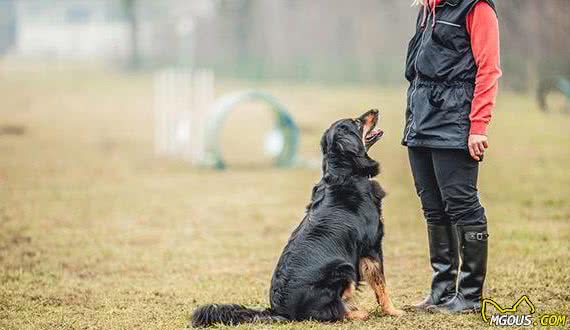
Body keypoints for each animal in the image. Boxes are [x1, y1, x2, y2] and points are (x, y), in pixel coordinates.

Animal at [193, 109, 402, 326]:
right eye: (357, 122)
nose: (375, 110)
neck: (346, 173)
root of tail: (279, 310)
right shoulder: (372, 247)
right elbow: (381, 285)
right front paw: (393, 311)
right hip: (343, 269)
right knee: (330, 311)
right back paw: (357, 313)